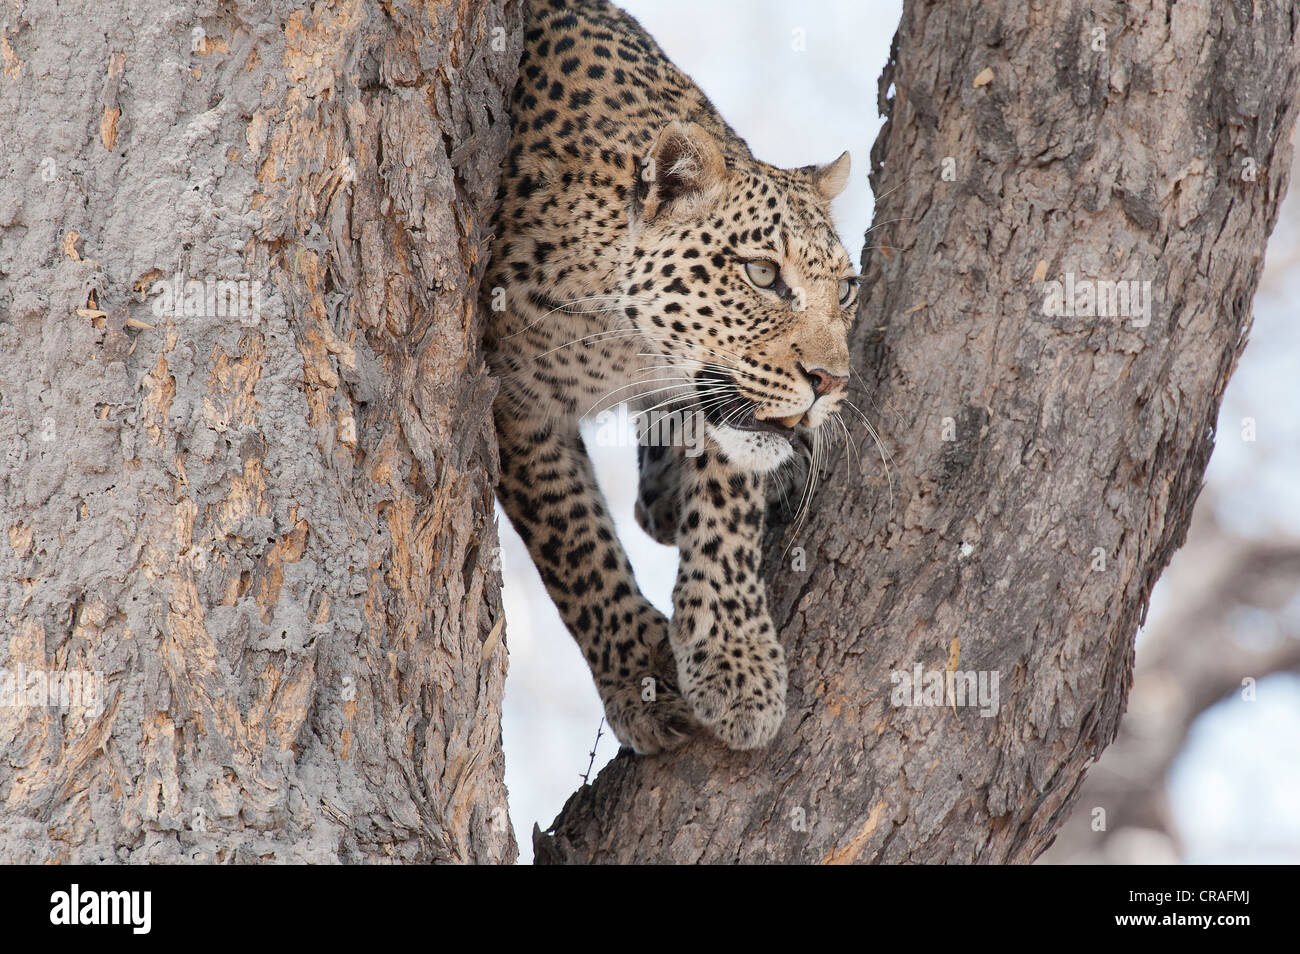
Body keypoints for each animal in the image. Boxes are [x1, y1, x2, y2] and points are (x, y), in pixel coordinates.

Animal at [484, 0, 858, 754]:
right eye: (762, 274)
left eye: (847, 290)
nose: (830, 382)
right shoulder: (516, 406)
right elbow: (576, 540)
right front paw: (639, 677)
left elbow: (727, 508)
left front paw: (735, 660)